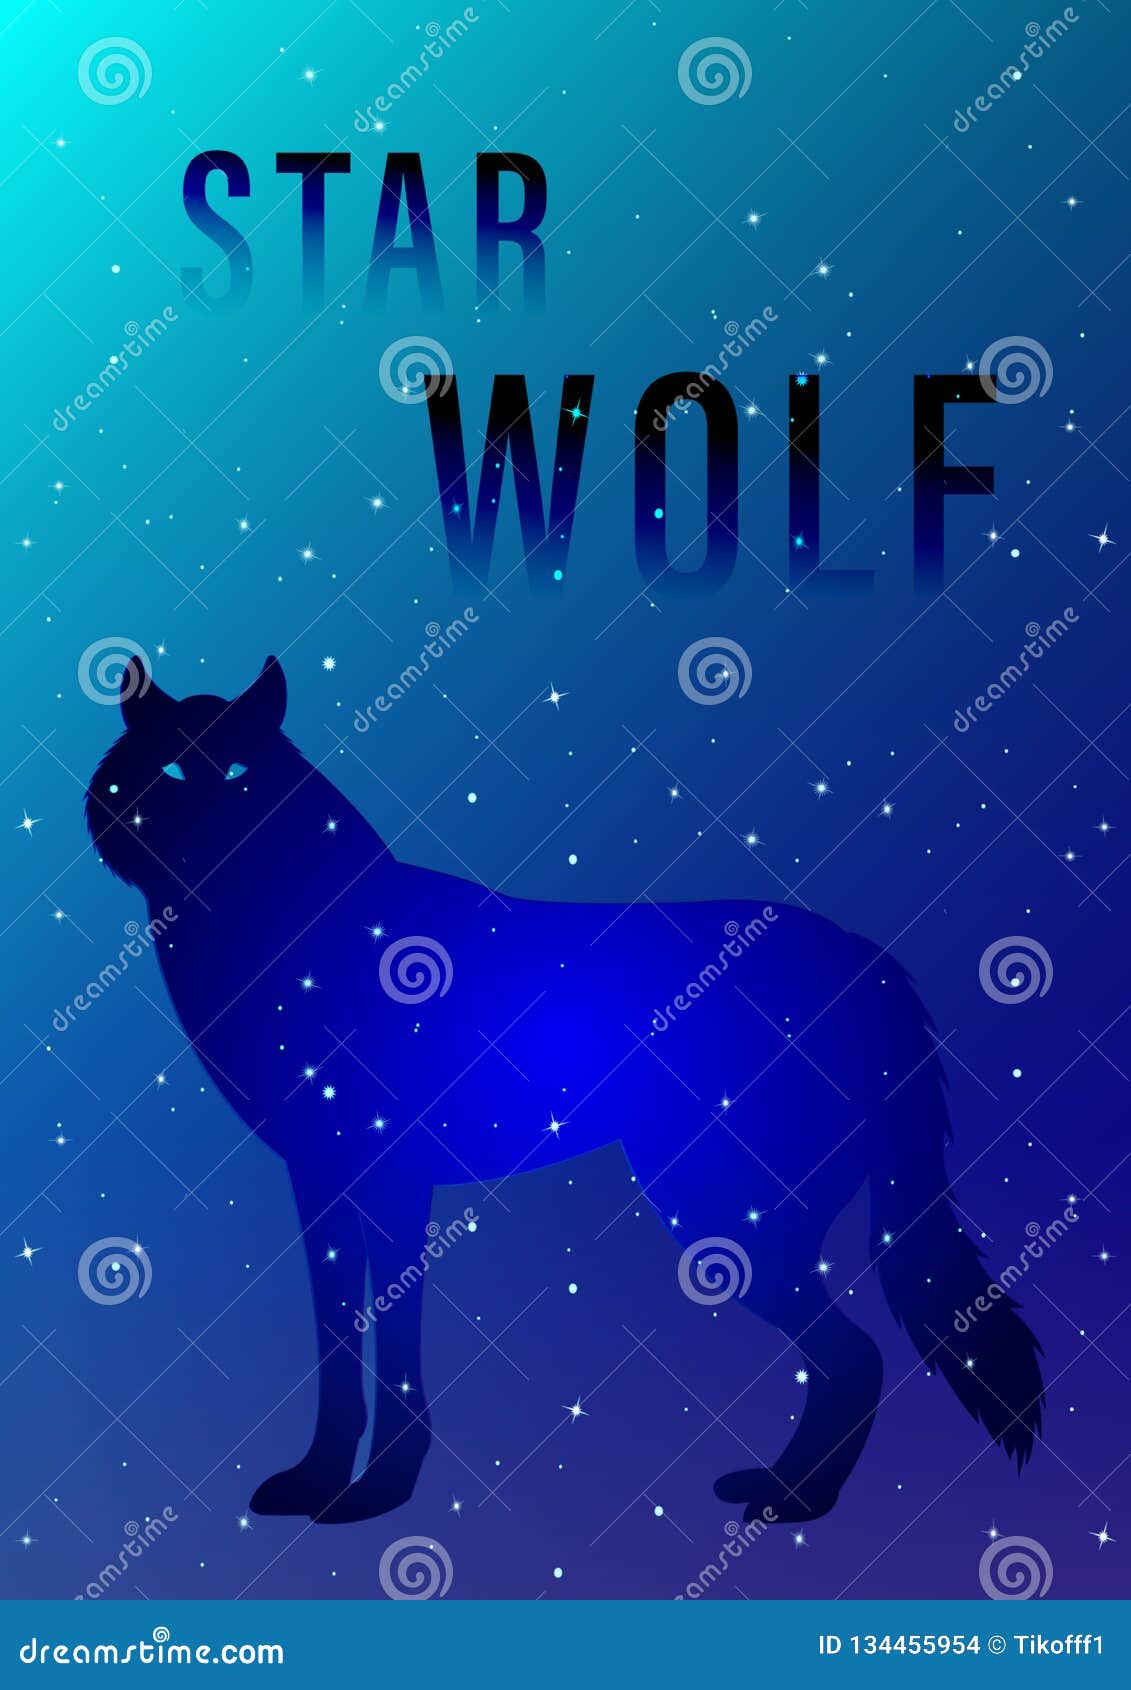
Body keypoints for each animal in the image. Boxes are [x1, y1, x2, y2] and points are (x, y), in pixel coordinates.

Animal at [86, 656, 1044, 1525]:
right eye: (169, 768)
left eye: (234, 772)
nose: (184, 811)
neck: (285, 932)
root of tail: (868, 959)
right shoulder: (320, 1185)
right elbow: (335, 1345)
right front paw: (317, 1482)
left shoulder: (390, 1183)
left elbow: (391, 1343)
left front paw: (378, 1493)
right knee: (855, 1355)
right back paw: (786, 1490)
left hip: (720, 1213)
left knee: (857, 1354)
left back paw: (792, 1501)